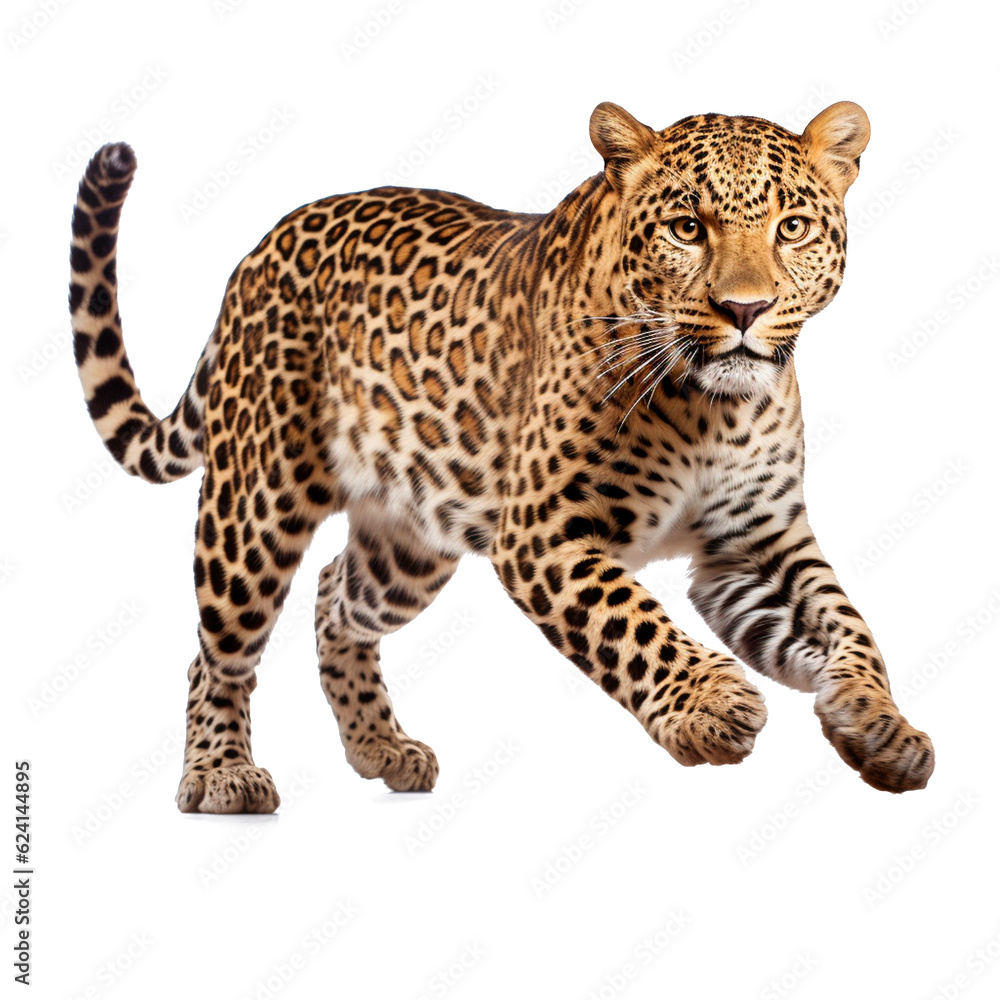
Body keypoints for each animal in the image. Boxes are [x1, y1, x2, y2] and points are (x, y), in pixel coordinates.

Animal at [67, 99, 935, 814]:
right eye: (688, 228)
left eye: (792, 227)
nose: (745, 309)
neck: (715, 406)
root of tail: (259, 250)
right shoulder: (543, 531)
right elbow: (630, 621)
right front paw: (708, 707)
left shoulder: (750, 545)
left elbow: (846, 624)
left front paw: (882, 725)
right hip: (256, 506)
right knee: (219, 651)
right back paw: (220, 774)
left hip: (408, 546)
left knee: (334, 596)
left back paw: (381, 747)